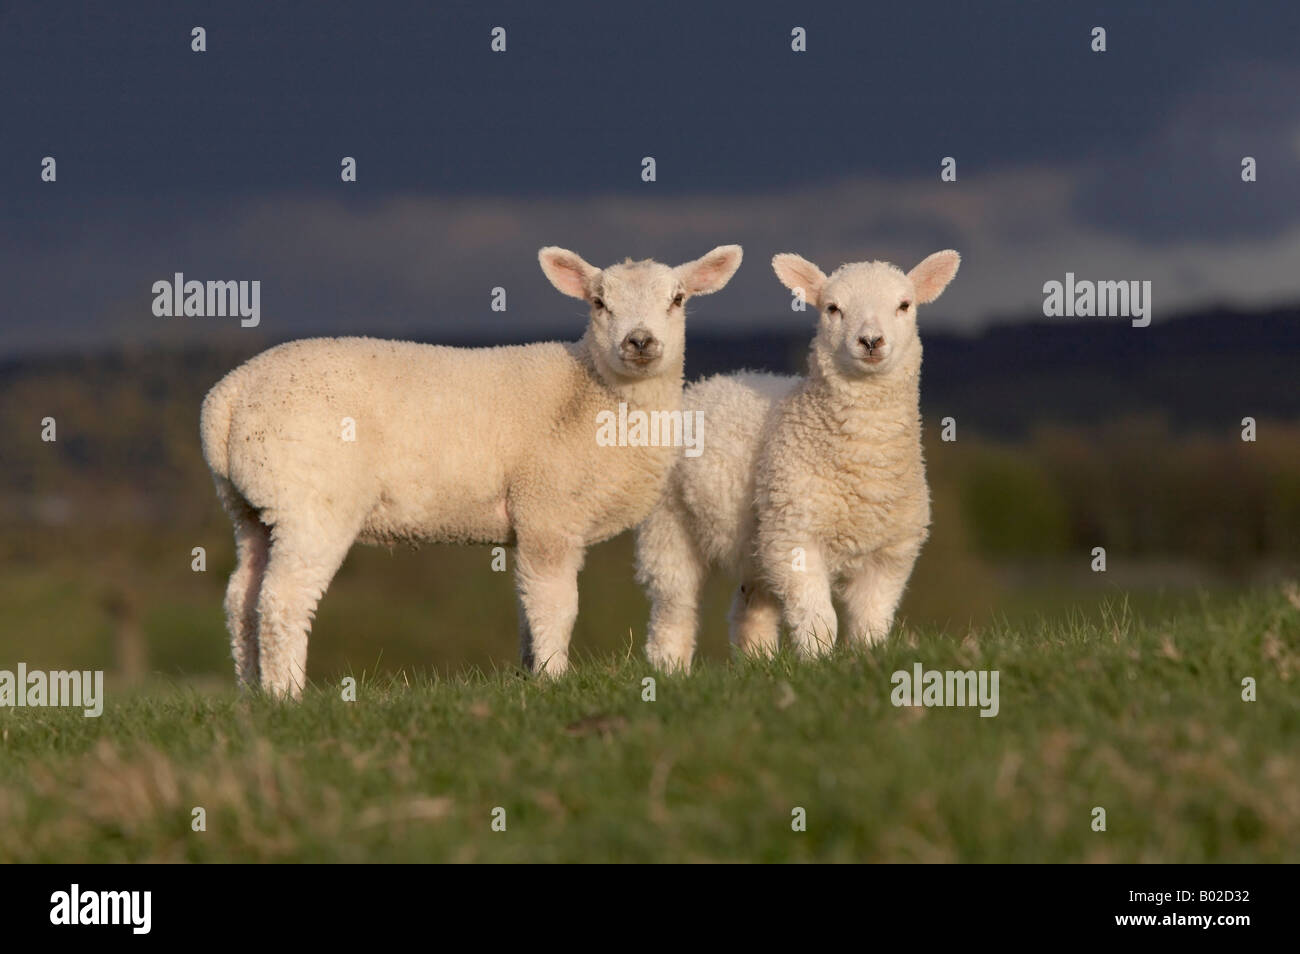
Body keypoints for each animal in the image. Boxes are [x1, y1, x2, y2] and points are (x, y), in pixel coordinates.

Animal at [200, 244, 744, 697]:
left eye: (677, 299)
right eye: (598, 303)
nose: (639, 341)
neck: (596, 394)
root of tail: (227, 399)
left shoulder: (531, 519)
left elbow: (527, 604)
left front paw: (531, 671)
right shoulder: (548, 509)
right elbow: (556, 604)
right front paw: (554, 679)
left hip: (249, 504)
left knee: (240, 596)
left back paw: (250, 693)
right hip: (312, 500)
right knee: (282, 599)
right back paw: (286, 696)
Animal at [635, 250, 959, 671]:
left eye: (905, 305)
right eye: (833, 308)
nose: (871, 341)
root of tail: (706, 383)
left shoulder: (889, 553)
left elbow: (871, 622)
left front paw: (866, 660)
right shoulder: (795, 538)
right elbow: (819, 618)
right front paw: (818, 663)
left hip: (755, 542)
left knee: (750, 609)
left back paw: (758, 664)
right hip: (668, 524)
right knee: (674, 605)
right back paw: (670, 669)